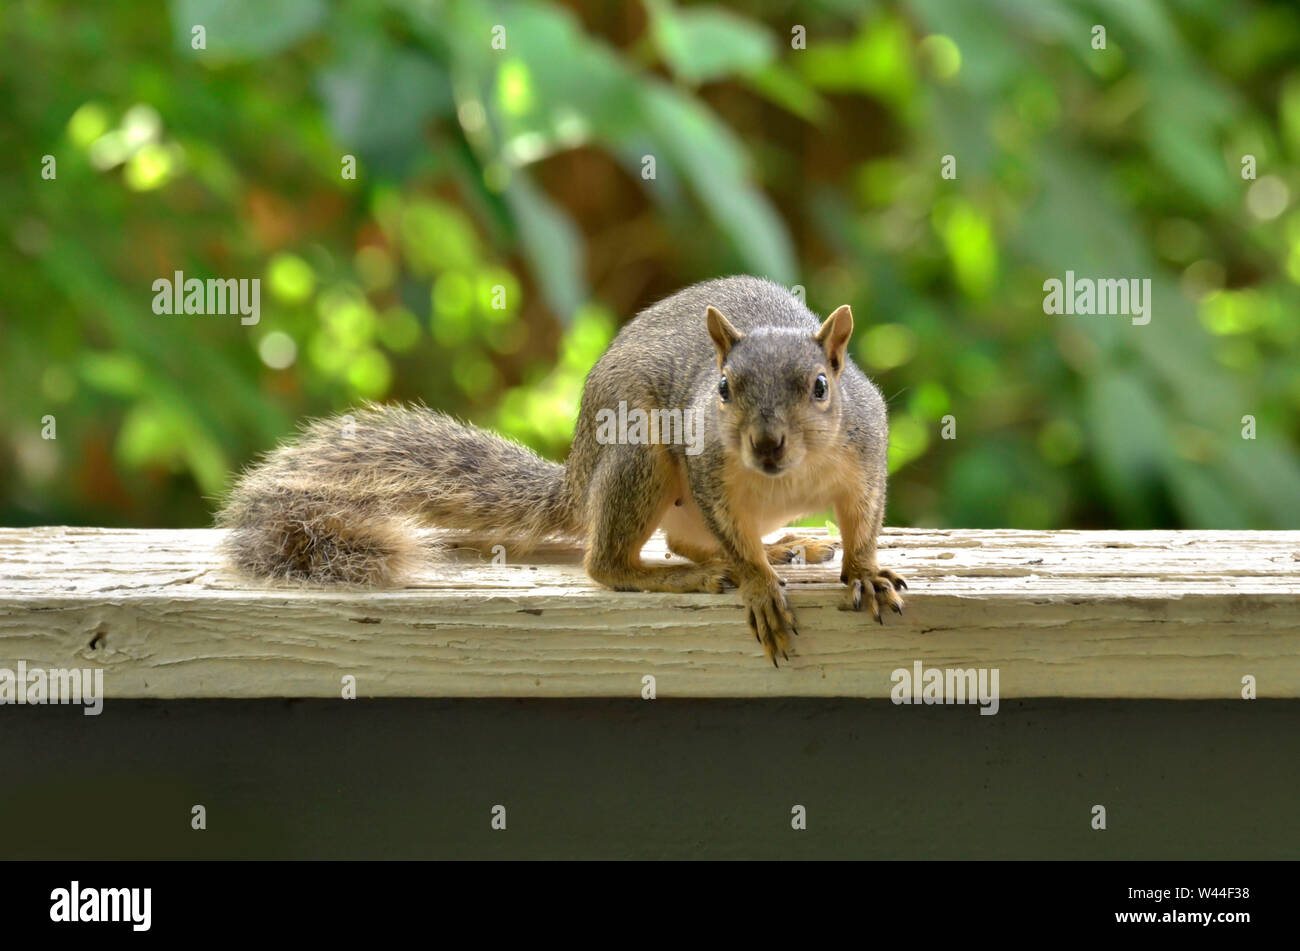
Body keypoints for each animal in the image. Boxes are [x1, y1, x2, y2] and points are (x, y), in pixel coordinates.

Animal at [217, 275, 905, 666]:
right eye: (723, 389)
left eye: (820, 387)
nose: (765, 445)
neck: (783, 476)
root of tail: (579, 477)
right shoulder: (708, 468)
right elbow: (734, 538)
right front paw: (759, 586)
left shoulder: (865, 455)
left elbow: (865, 520)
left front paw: (863, 572)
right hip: (640, 456)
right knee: (609, 563)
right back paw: (689, 575)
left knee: (685, 539)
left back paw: (785, 544)